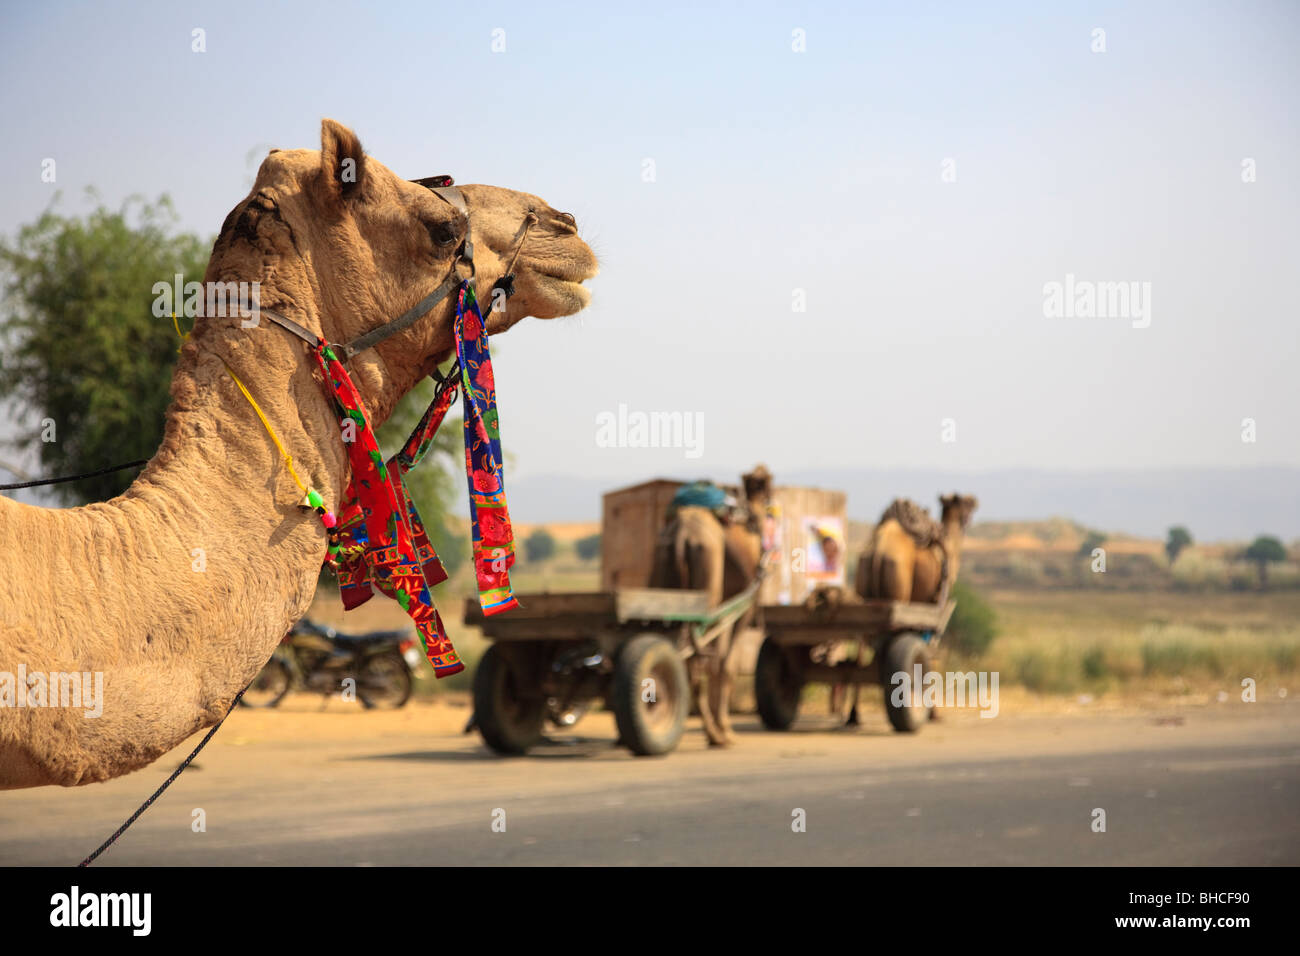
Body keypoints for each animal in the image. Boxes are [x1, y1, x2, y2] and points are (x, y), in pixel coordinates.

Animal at [649, 466, 772, 746]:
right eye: (769, 490)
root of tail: (682, 534)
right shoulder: (742, 606)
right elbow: (726, 666)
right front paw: (726, 728)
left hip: (665, 568)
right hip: (709, 581)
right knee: (696, 660)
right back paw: (715, 734)